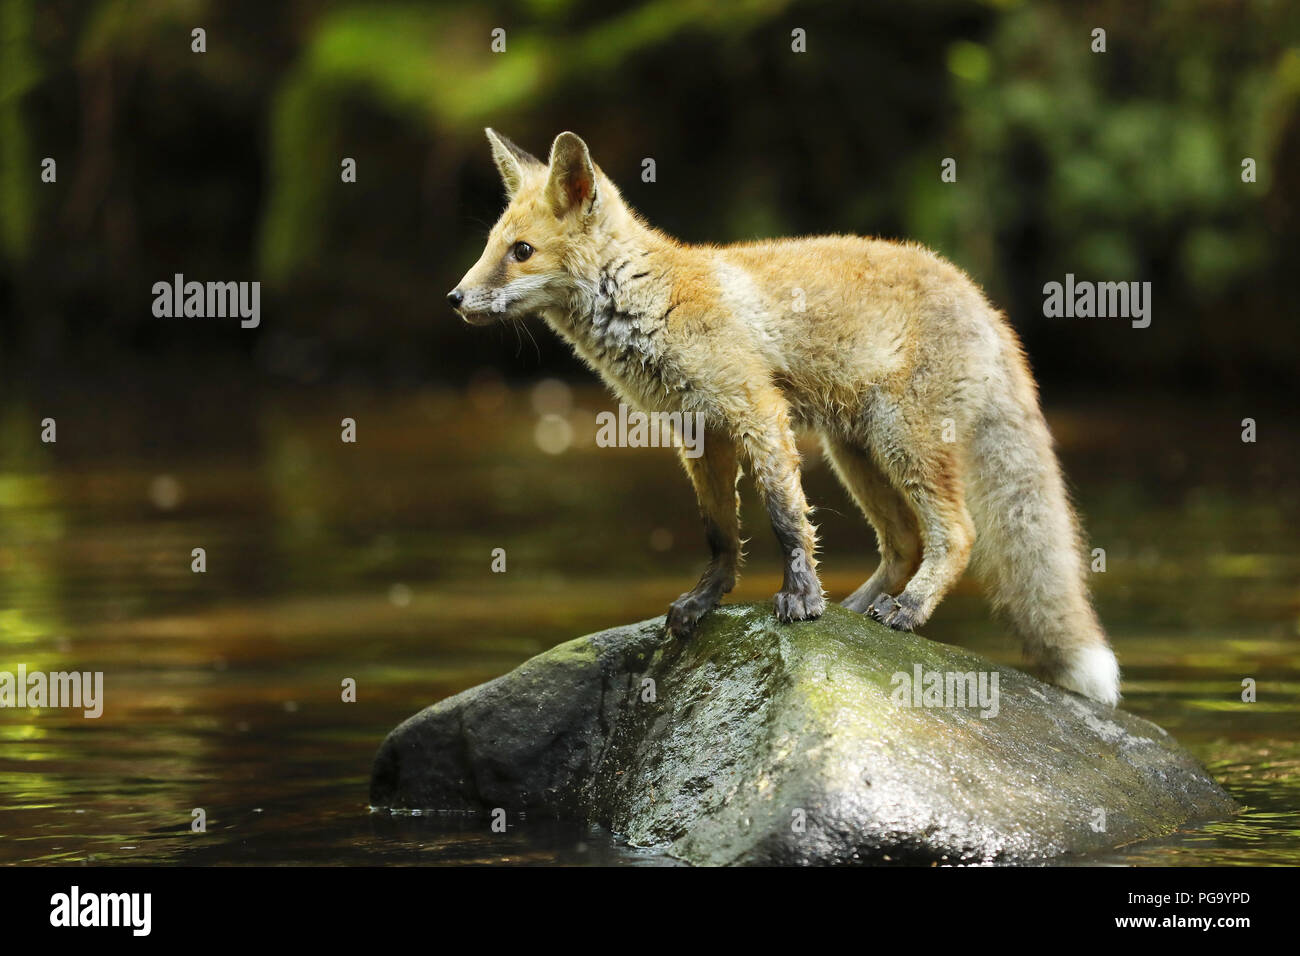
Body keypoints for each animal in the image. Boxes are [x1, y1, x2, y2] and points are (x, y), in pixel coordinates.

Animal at [448, 129, 1121, 706]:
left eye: (522, 253)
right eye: (488, 248)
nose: (453, 299)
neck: (651, 303)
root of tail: (983, 299)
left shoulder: (755, 409)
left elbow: (784, 517)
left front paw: (800, 598)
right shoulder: (698, 435)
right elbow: (721, 533)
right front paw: (709, 600)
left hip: (901, 440)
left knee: (957, 534)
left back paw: (908, 609)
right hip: (856, 451)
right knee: (903, 544)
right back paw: (858, 610)